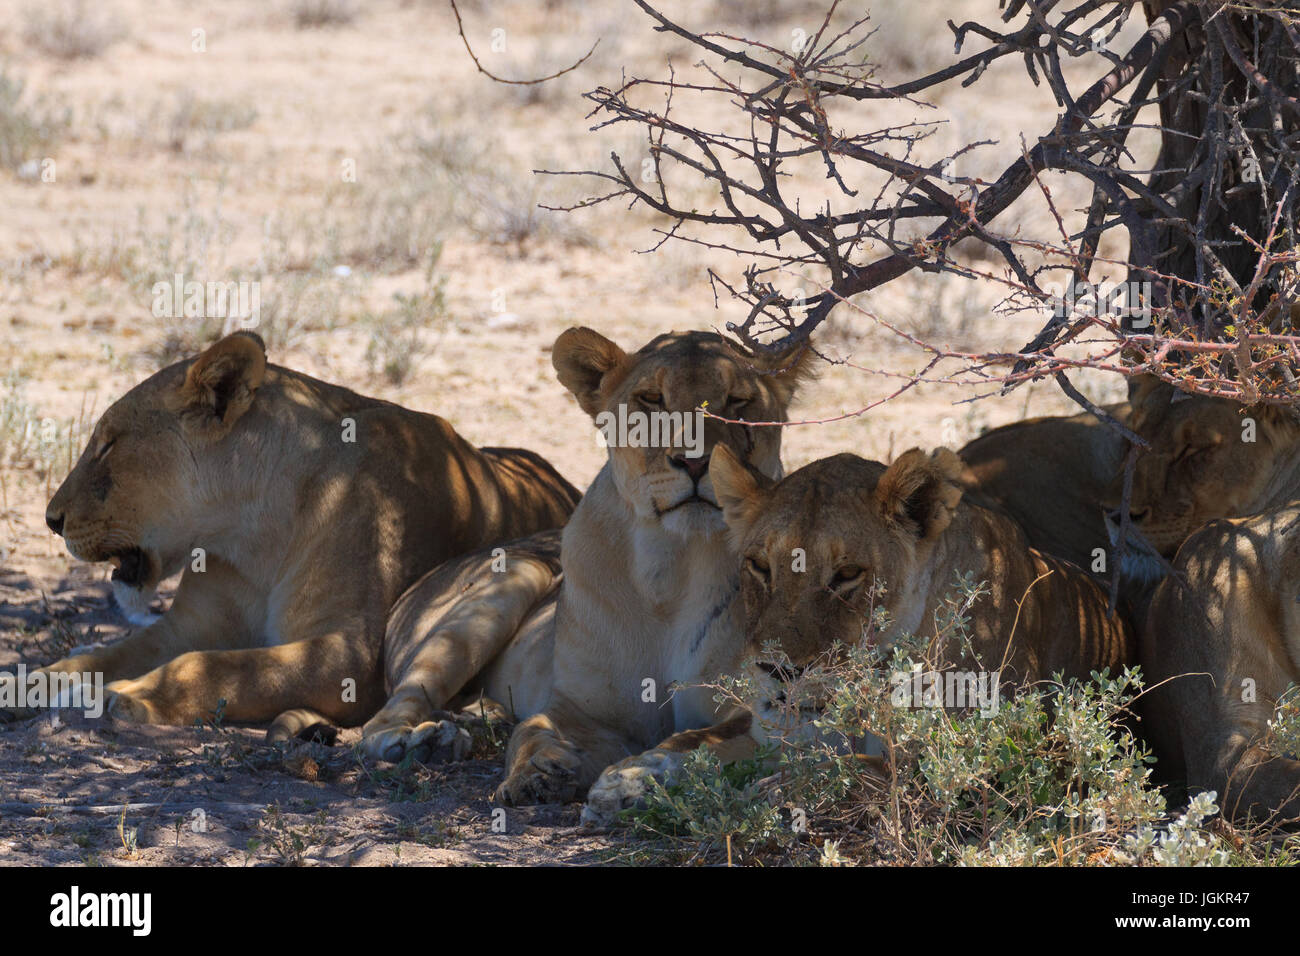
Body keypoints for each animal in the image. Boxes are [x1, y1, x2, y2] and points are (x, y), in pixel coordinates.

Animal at [4, 331, 579, 730]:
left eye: (108, 444)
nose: (51, 520)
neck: (251, 532)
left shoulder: (349, 654)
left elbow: (211, 668)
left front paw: (129, 695)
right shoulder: (185, 625)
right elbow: (102, 654)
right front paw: (36, 683)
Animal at [355, 326, 813, 803]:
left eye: (739, 400)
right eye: (652, 398)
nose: (695, 461)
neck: (673, 566)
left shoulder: (765, 709)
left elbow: (697, 740)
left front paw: (635, 777)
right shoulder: (580, 709)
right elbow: (533, 729)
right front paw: (539, 770)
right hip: (514, 576)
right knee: (382, 718)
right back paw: (422, 741)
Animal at [582, 444, 1133, 824]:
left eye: (847, 575)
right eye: (760, 566)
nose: (777, 670)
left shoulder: (993, 765)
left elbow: (864, 770)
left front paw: (777, 792)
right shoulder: (770, 729)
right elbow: (700, 740)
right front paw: (628, 779)